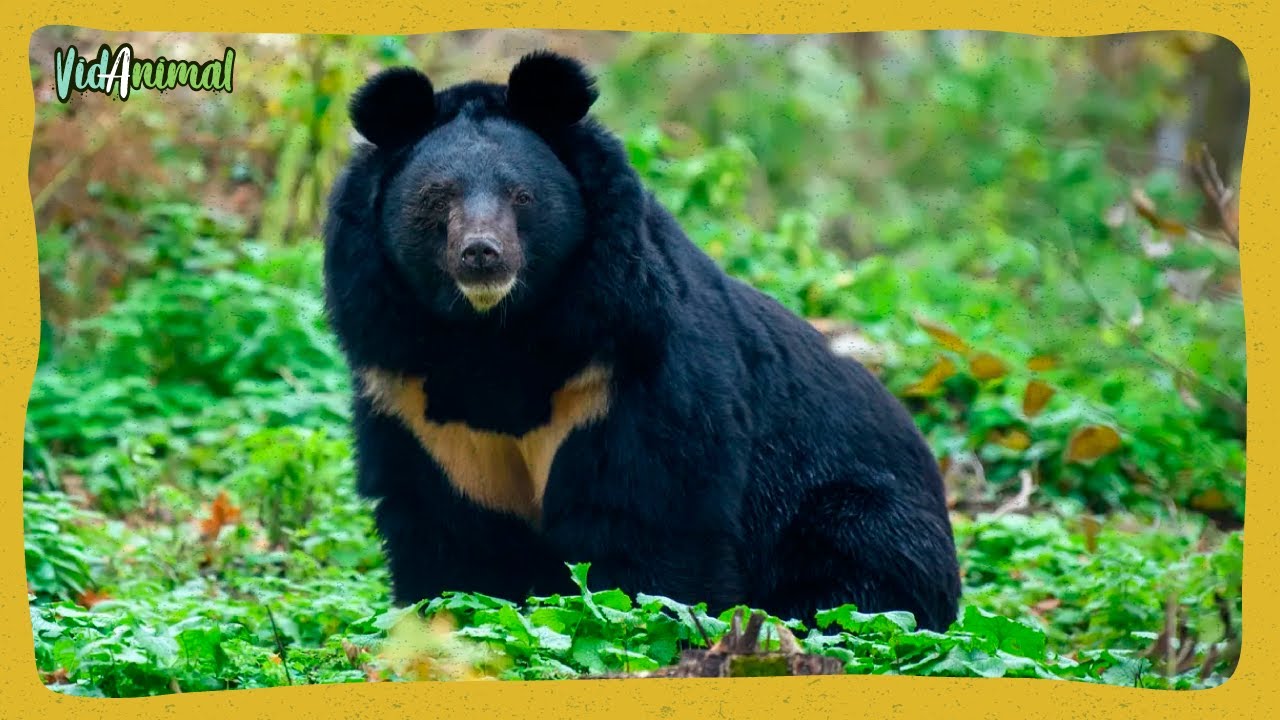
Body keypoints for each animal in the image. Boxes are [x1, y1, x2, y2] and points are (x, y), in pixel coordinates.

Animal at [322, 51, 962, 631]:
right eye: (437, 197)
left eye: (521, 196)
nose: (482, 254)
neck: (494, 332)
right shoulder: (419, 408)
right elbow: (448, 536)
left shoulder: (625, 373)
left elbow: (651, 520)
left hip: (855, 510)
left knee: (859, 579)